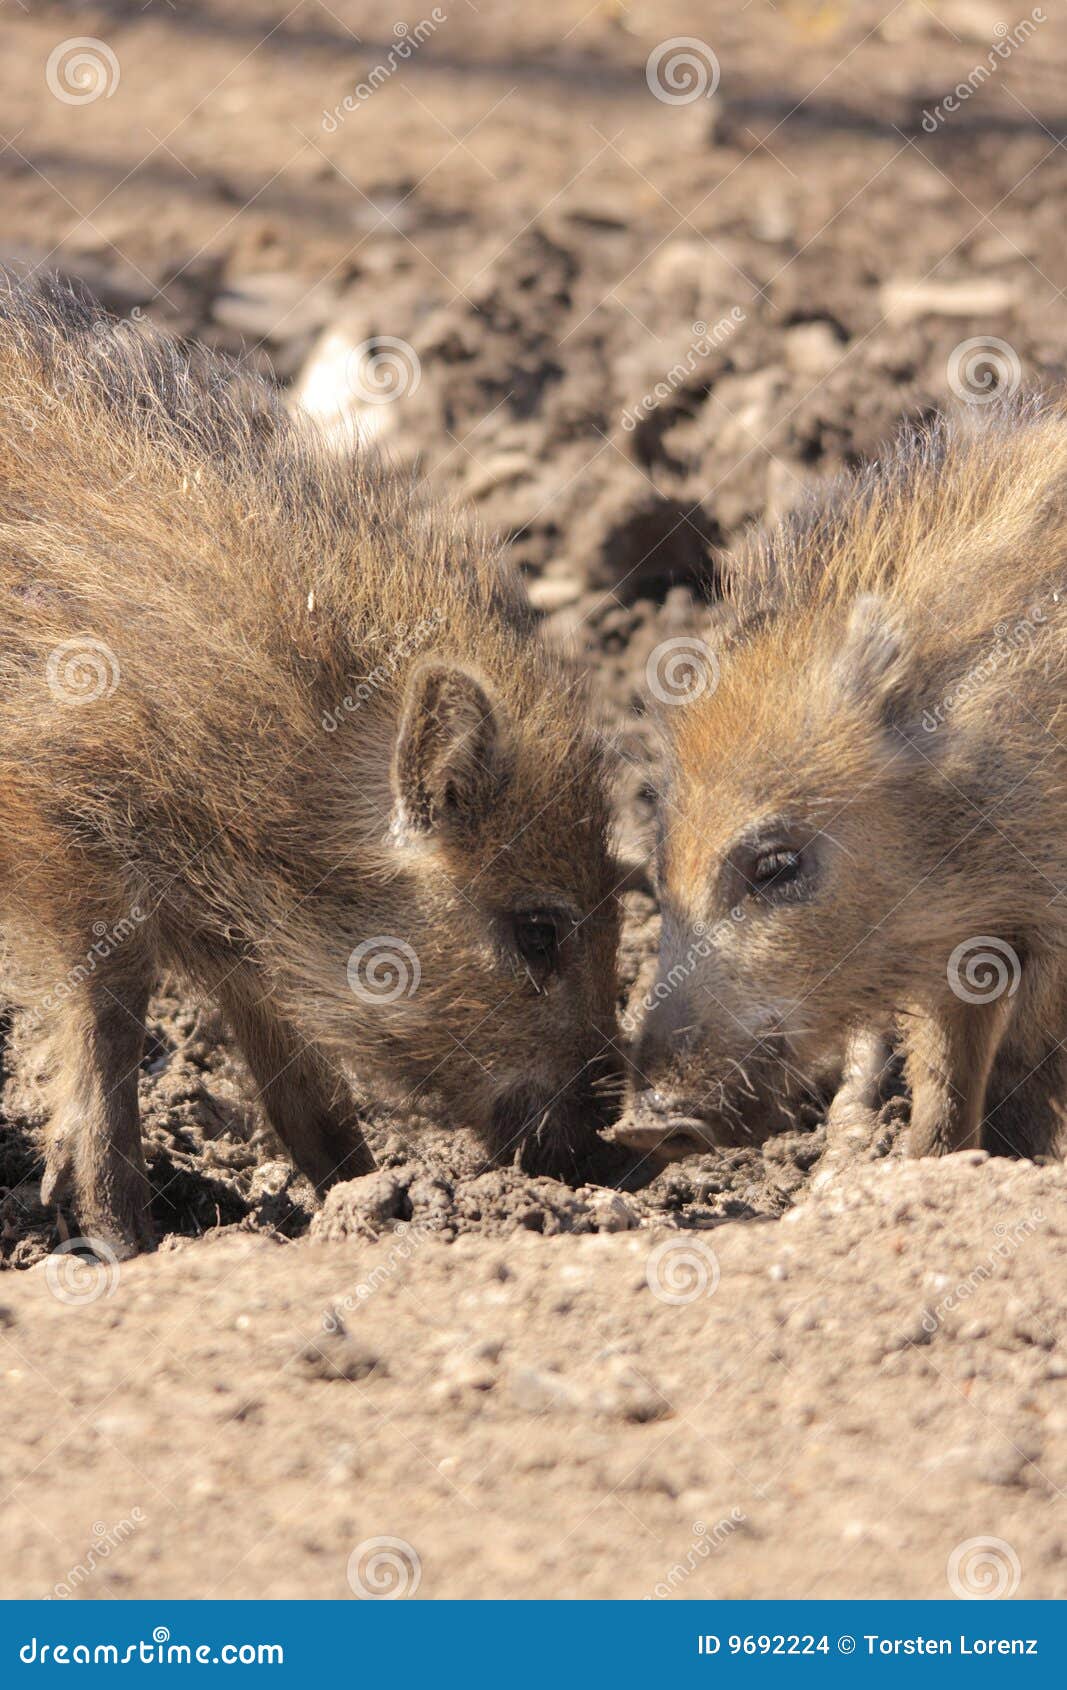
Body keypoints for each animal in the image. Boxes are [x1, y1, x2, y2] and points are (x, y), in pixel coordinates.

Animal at [0, 274, 622, 1256]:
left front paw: (362, 1196)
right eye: (537, 930)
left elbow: (299, 1074)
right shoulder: (66, 850)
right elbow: (106, 1025)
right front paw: (121, 1241)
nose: (610, 1154)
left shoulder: (235, 934)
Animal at [620, 398, 1067, 1165]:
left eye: (776, 865)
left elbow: (1023, 1059)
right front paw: (926, 1160)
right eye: (659, 867)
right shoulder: (955, 943)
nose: (648, 1126)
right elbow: (944, 1063)